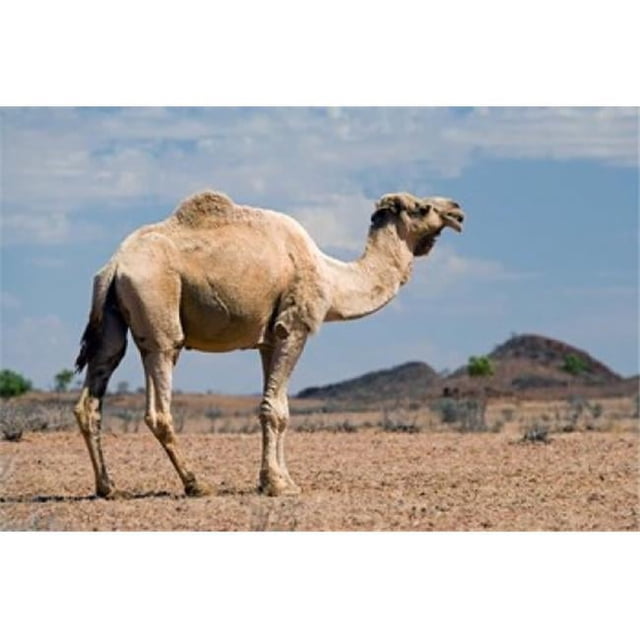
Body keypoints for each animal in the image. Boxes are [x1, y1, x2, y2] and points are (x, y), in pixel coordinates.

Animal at [74, 190, 465, 497]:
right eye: (422, 207)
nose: (458, 211)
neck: (331, 277)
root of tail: (114, 265)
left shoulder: (268, 339)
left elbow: (280, 409)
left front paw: (281, 480)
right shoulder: (294, 326)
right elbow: (274, 410)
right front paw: (277, 485)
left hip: (112, 319)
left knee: (93, 392)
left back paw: (108, 488)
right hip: (158, 309)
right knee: (160, 396)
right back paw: (196, 484)